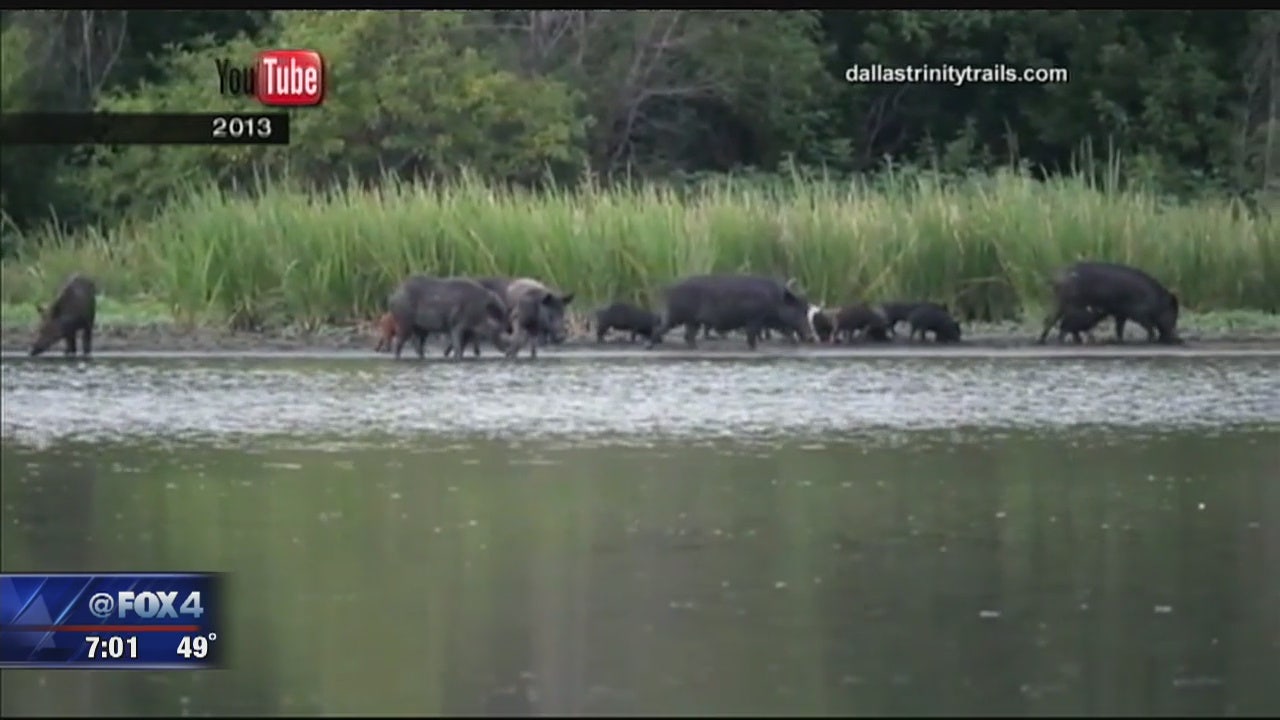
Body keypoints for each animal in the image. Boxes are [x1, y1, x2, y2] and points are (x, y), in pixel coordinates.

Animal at [647, 274, 814, 350]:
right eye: (799, 310)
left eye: (806, 310)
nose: (810, 337)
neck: (774, 300)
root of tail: (668, 289)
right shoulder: (754, 319)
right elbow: (751, 335)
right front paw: (754, 348)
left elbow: (786, 330)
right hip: (676, 316)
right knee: (660, 329)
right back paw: (649, 346)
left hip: (692, 321)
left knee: (688, 336)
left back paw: (695, 348)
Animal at [1037, 261, 1181, 345]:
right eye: (1173, 314)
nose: (1177, 338)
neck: (1157, 302)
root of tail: (1059, 279)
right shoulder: (1138, 314)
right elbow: (1148, 326)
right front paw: (1151, 339)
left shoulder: (1121, 314)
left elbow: (1119, 327)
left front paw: (1121, 340)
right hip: (1072, 306)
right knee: (1062, 323)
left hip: (1059, 303)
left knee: (1051, 320)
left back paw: (1043, 340)